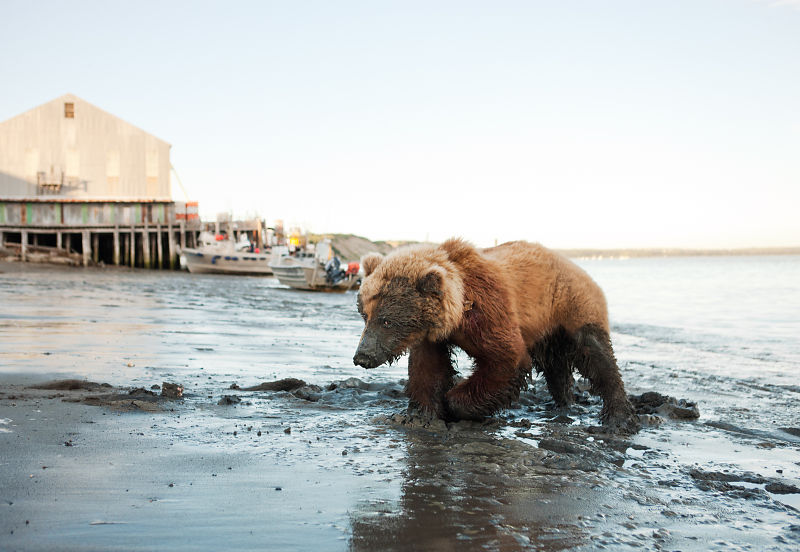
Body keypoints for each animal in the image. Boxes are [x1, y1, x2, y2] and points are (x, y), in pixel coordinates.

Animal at [353, 238, 640, 434]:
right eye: (364, 315)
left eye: (386, 320)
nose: (362, 356)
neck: (459, 312)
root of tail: (580, 268)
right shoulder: (431, 335)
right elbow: (428, 370)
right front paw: (418, 415)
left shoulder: (489, 308)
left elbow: (505, 358)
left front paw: (453, 403)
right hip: (546, 328)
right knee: (556, 367)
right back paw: (562, 403)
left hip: (572, 305)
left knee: (598, 357)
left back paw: (618, 418)